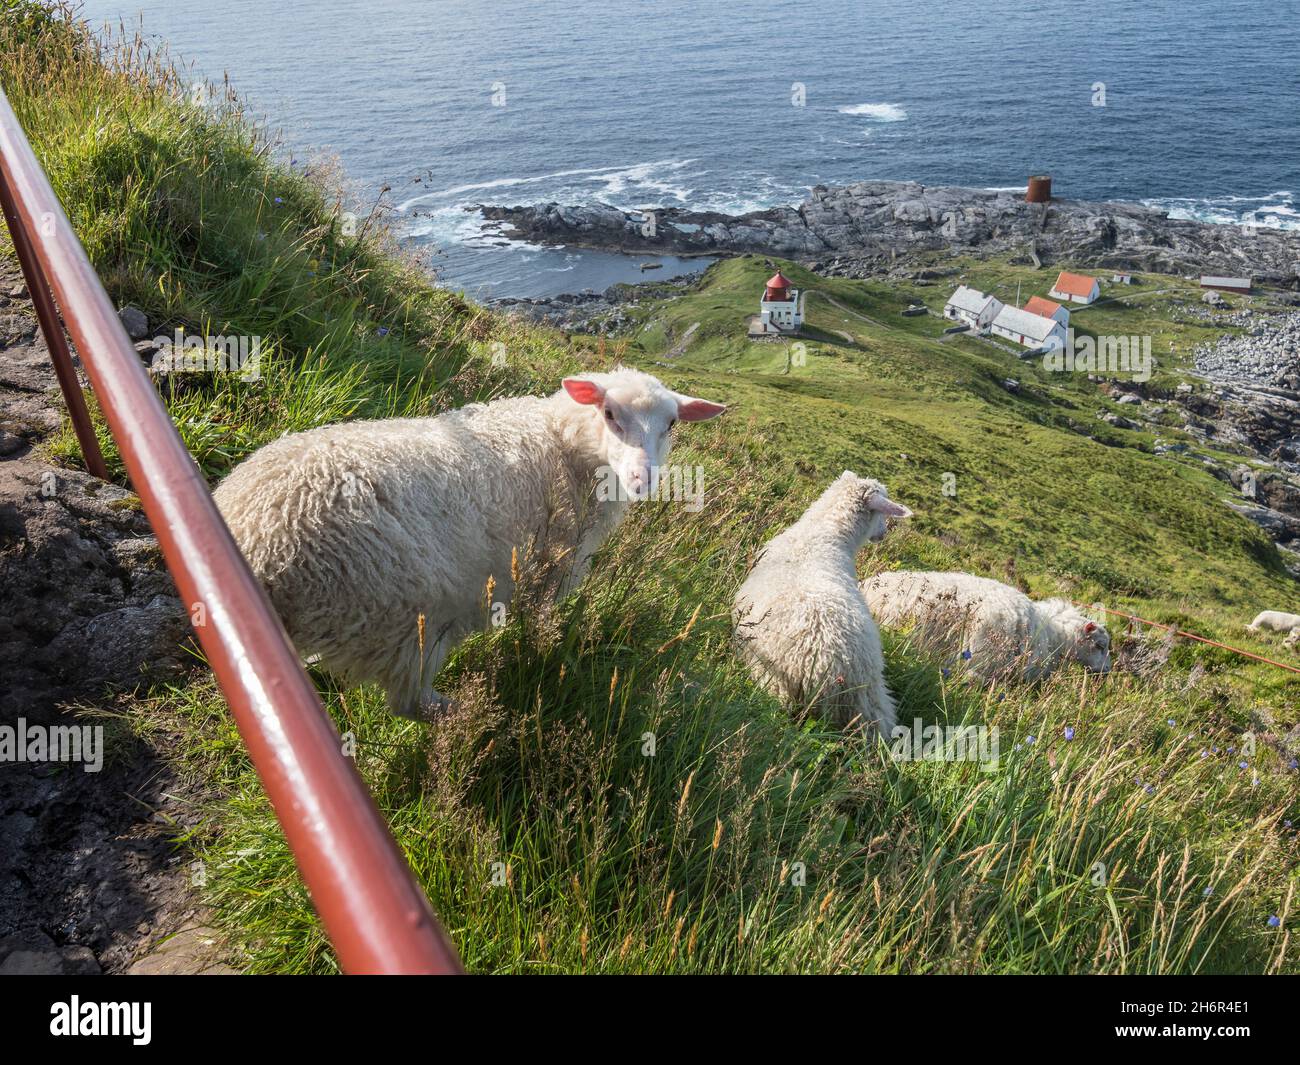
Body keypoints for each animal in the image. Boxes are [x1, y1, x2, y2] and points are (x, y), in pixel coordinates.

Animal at [213, 367, 725, 718]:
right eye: (610, 414)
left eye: (672, 425)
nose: (644, 480)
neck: (562, 443)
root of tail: (256, 536)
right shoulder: (556, 563)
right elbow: (545, 618)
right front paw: (543, 641)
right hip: (404, 616)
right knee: (410, 701)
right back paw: (468, 716)